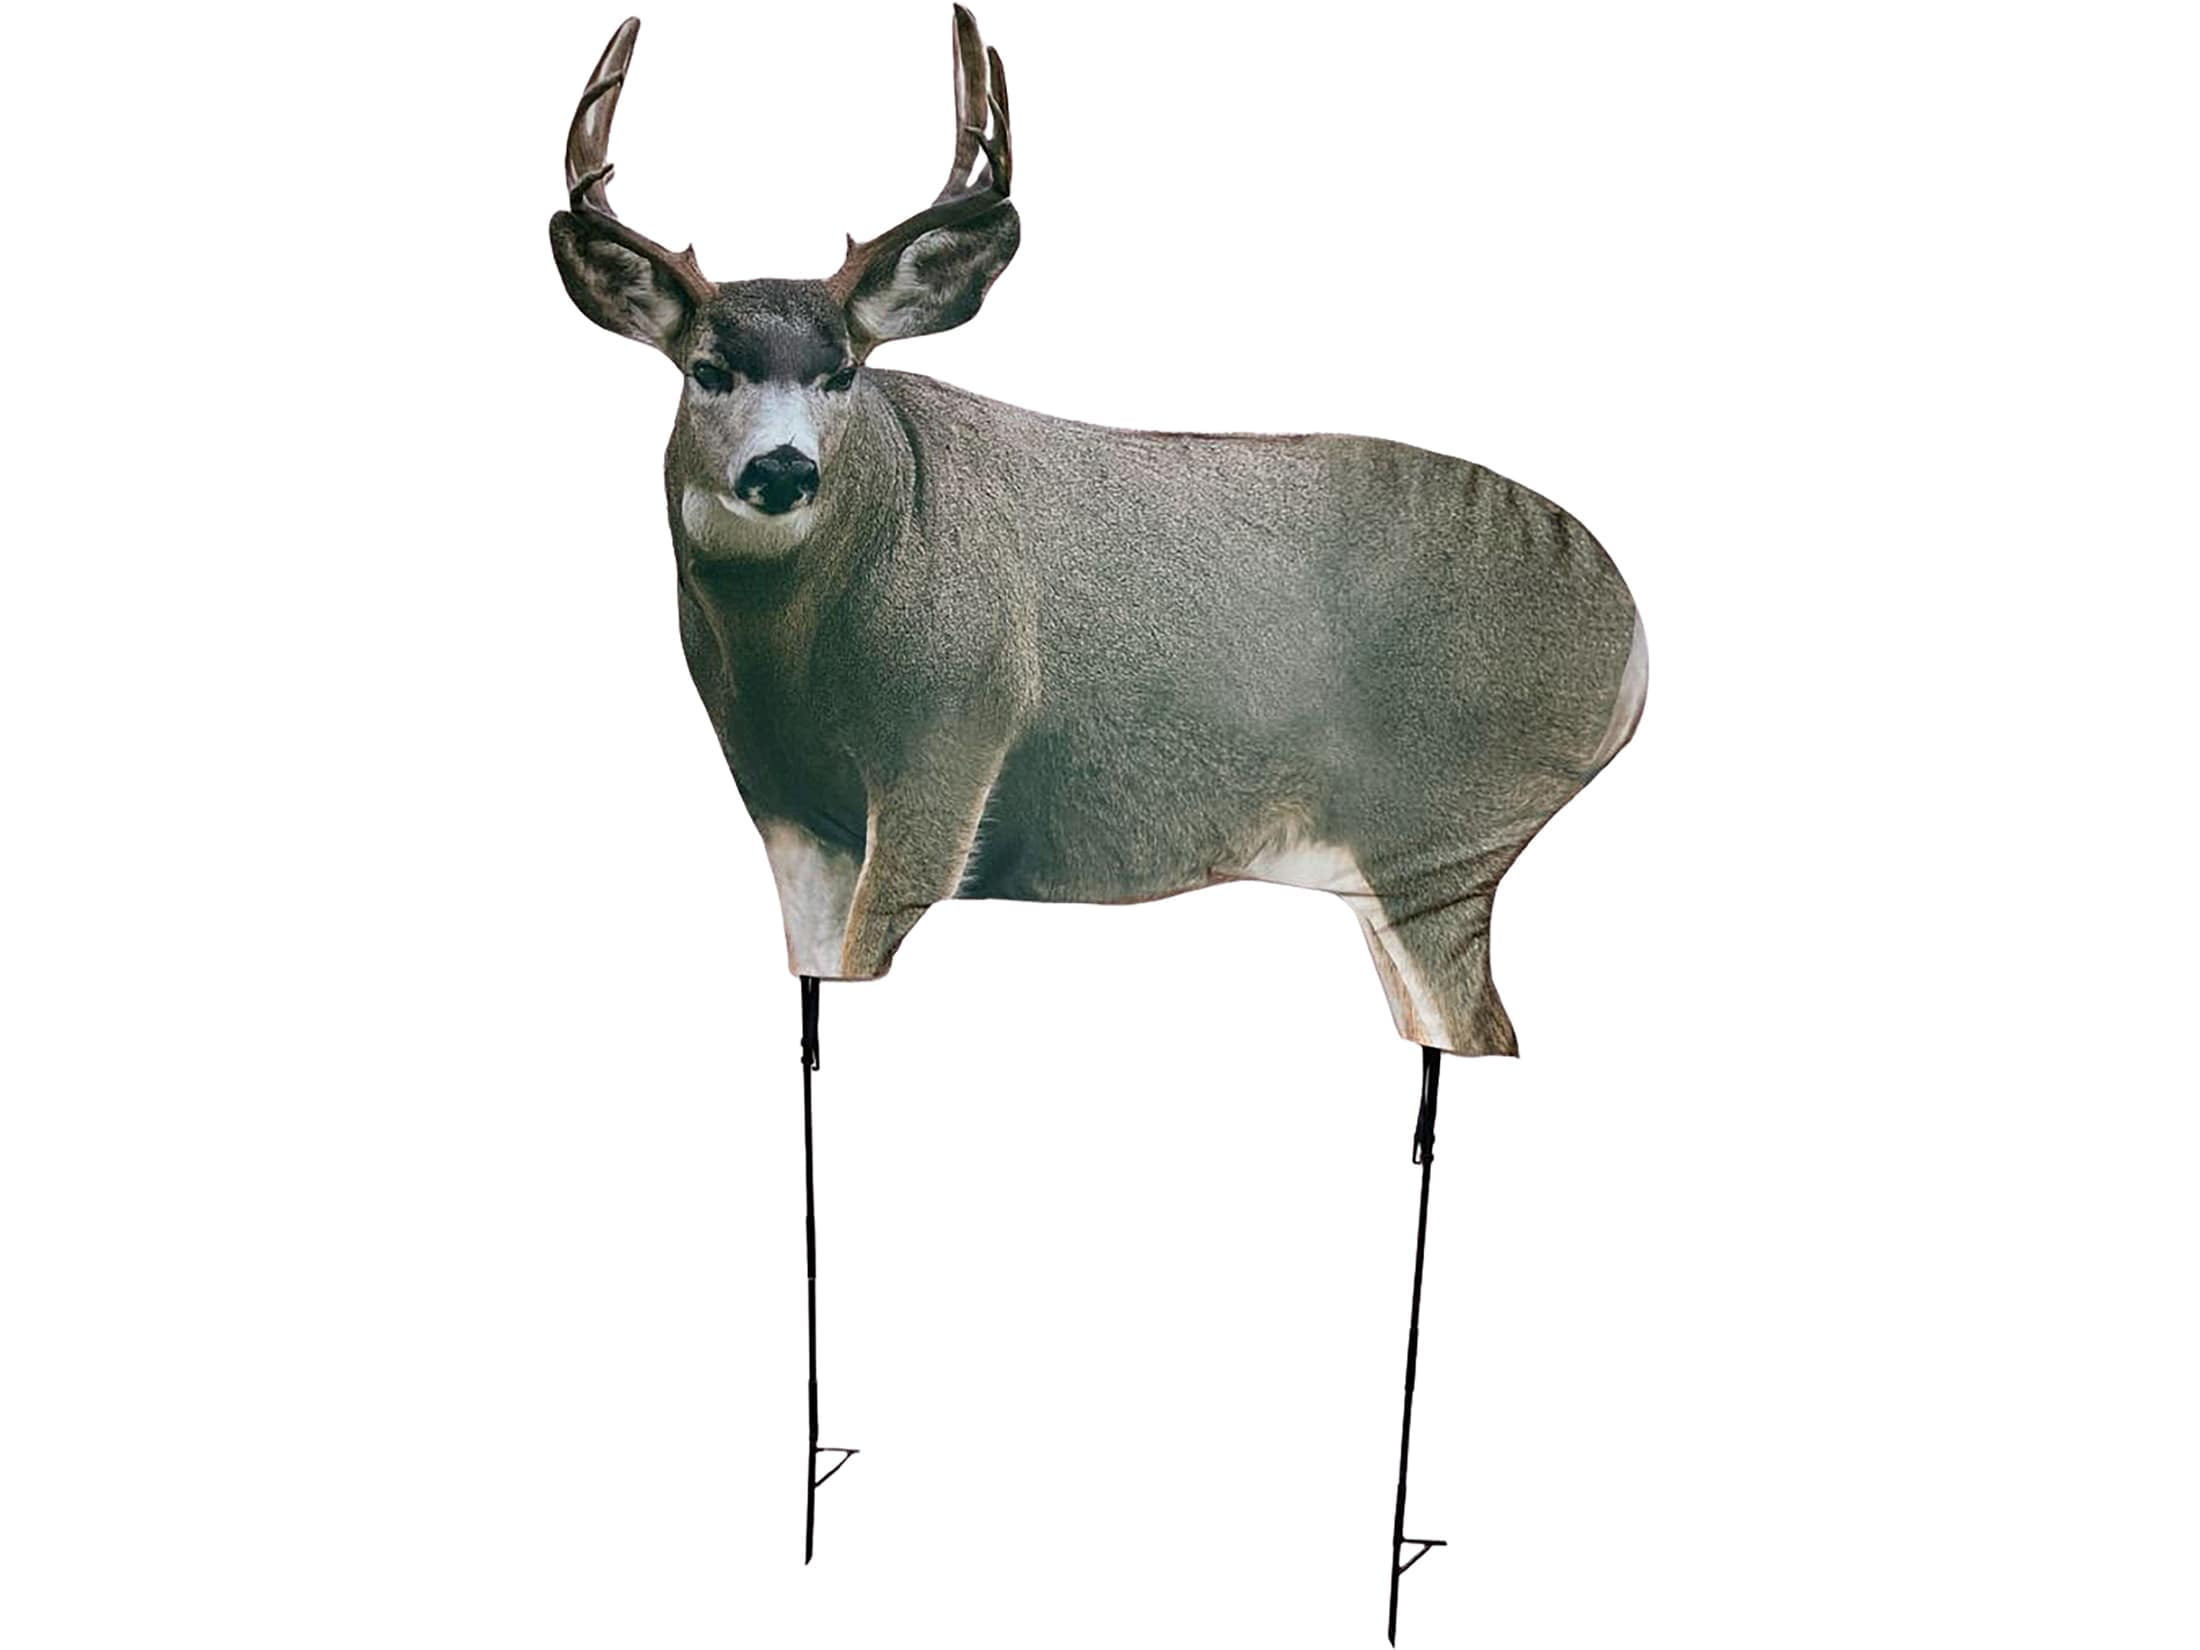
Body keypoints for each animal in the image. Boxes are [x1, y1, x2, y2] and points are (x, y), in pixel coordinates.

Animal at [549, 10, 1645, 1634]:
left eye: (848, 370)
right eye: (705, 365)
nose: (780, 469)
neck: (805, 668)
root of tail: (1639, 638)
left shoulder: (946, 756)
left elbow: (874, 949)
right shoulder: (782, 818)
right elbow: (807, 996)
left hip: (1449, 830)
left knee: (1486, 1038)